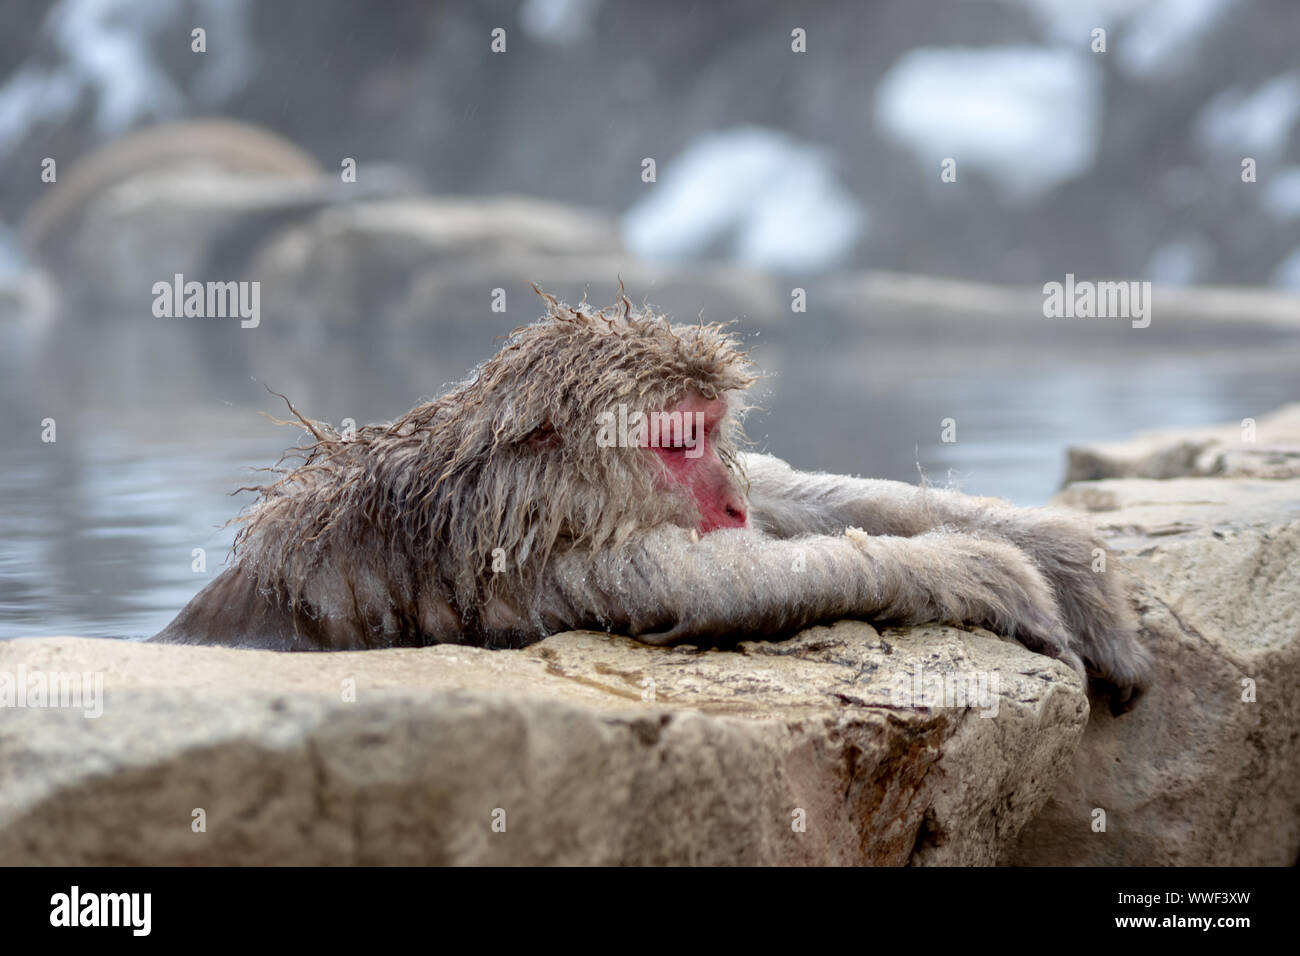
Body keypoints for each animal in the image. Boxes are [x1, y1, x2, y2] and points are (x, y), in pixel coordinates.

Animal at [154, 288, 1151, 713]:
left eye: (710, 432)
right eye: (677, 445)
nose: (728, 506)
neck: (523, 499)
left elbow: (795, 498)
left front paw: (1067, 558)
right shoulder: (563, 569)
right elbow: (739, 589)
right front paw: (994, 574)